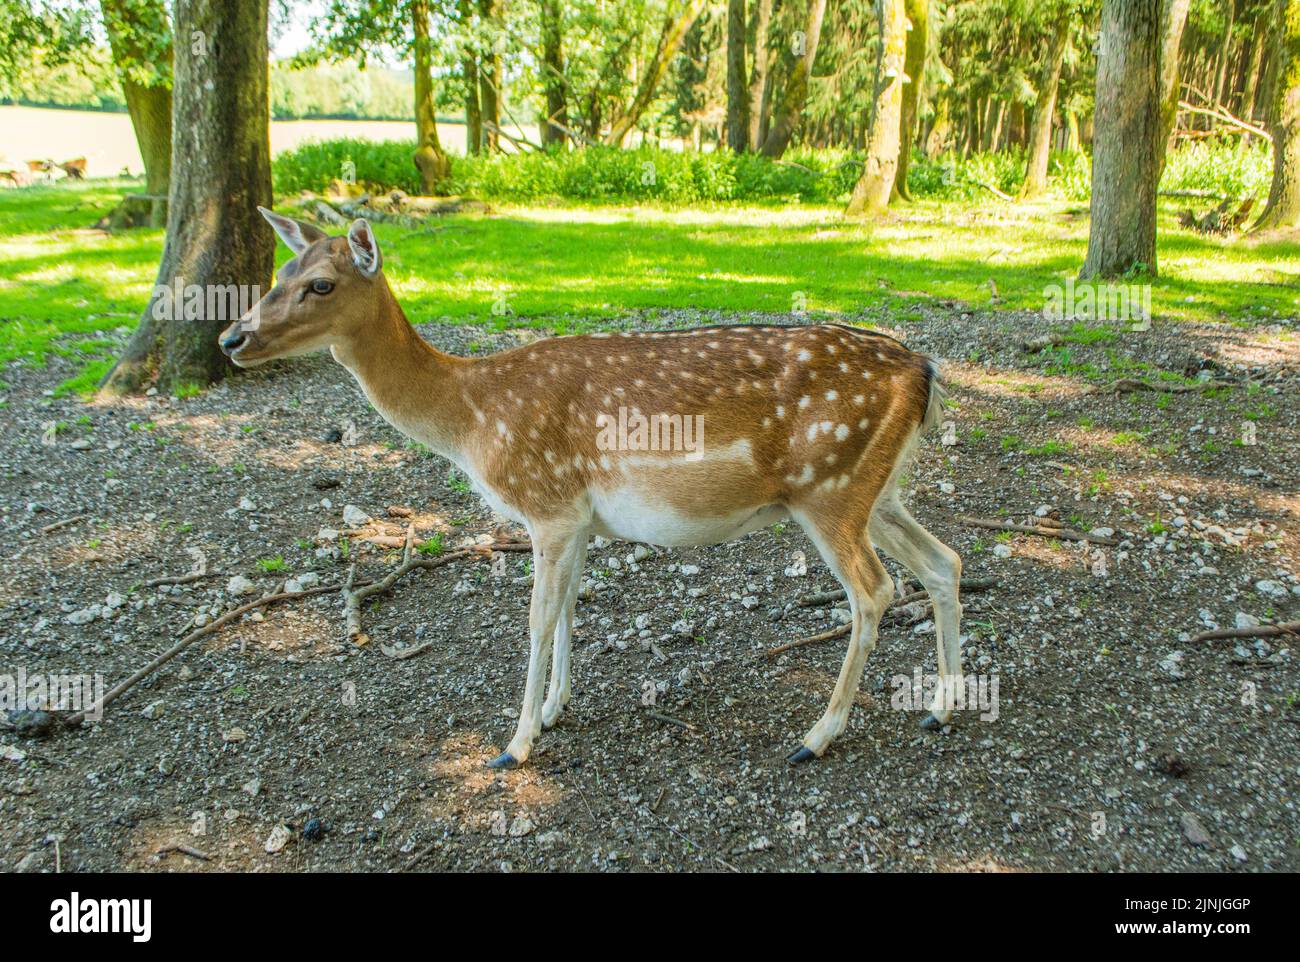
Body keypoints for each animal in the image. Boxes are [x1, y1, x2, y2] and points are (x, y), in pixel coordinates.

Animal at [219, 208, 965, 769]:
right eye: (279, 273)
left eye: (320, 284)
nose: (231, 337)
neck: (471, 417)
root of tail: (924, 371)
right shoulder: (577, 517)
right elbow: (571, 610)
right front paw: (554, 710)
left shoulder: (545, 504)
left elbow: (537, 619)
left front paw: (514, 744)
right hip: (876, 489)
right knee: (944, 561)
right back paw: (940, 708)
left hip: (829, 487)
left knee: (875, 590)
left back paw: (816, 737)